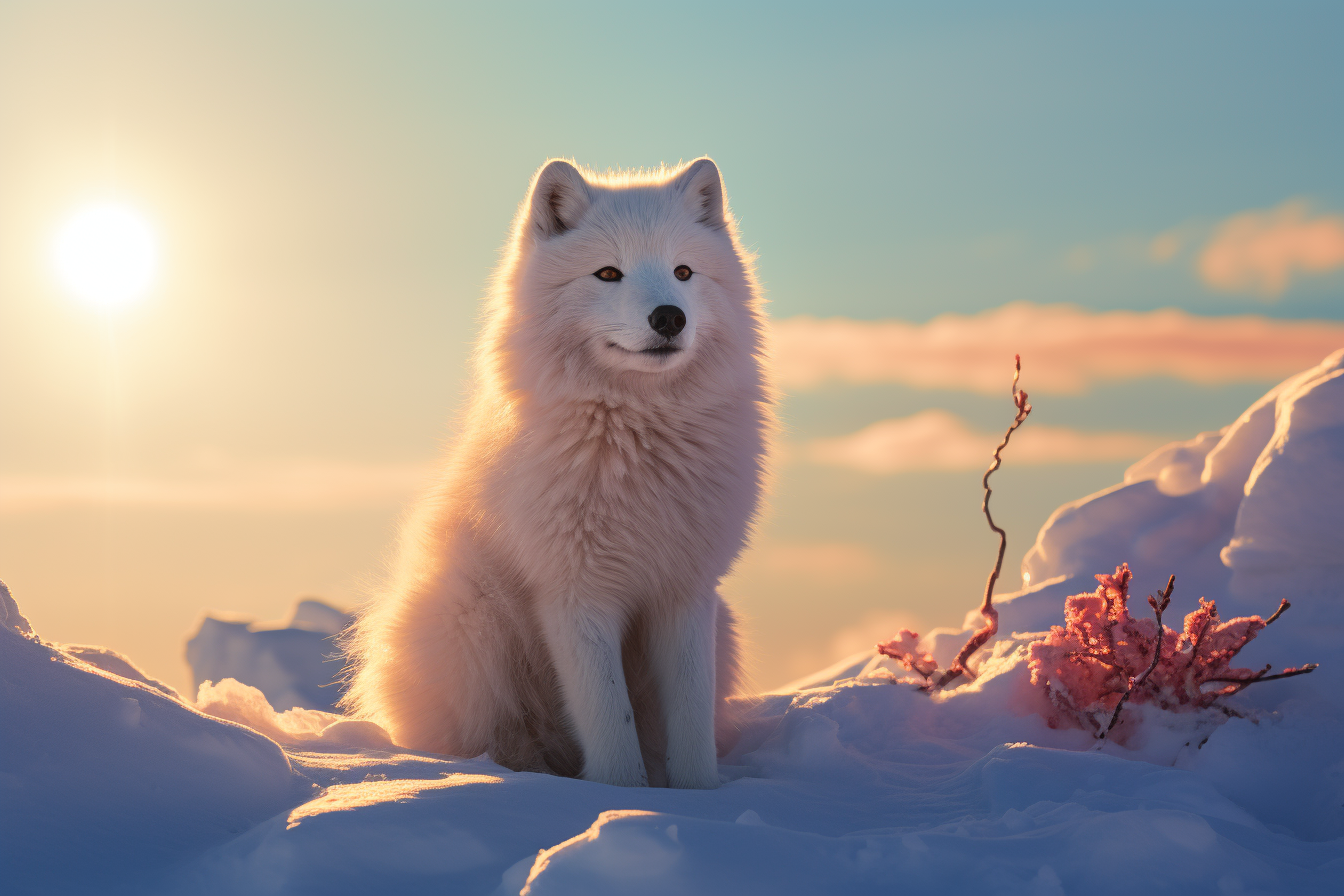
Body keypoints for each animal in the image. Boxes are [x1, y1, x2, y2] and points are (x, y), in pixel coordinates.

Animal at [341, 158, 774, 788]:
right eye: (609, 273)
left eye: (684, 271)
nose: (669, 317)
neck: (638, 444)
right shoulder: (575, 595)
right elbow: (612, 725)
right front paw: (624, 796)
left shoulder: (686, 592)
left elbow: (691, 727)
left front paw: (697, 797)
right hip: (471, 628)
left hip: (723, 629)